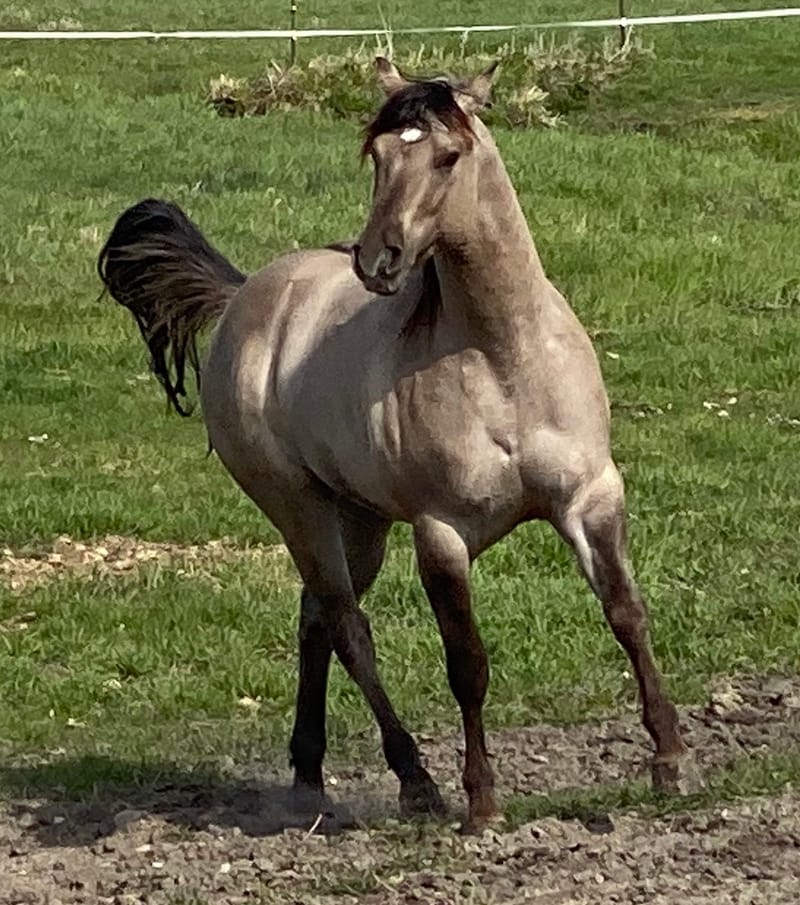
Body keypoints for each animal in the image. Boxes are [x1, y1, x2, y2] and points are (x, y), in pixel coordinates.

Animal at [97, 57, 686, 834]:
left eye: (448, 155)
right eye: (377, 155)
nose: (378, 260)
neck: (505, 360)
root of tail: (245, 298)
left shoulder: (590, 498)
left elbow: (627, 614)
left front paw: (668, 761)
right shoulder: (441, 533)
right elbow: (467, 663)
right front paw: (481, 800)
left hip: (360, 518)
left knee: (316, 618)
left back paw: (310, 774)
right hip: (299, 508)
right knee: (349, 626)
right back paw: (414, 780)